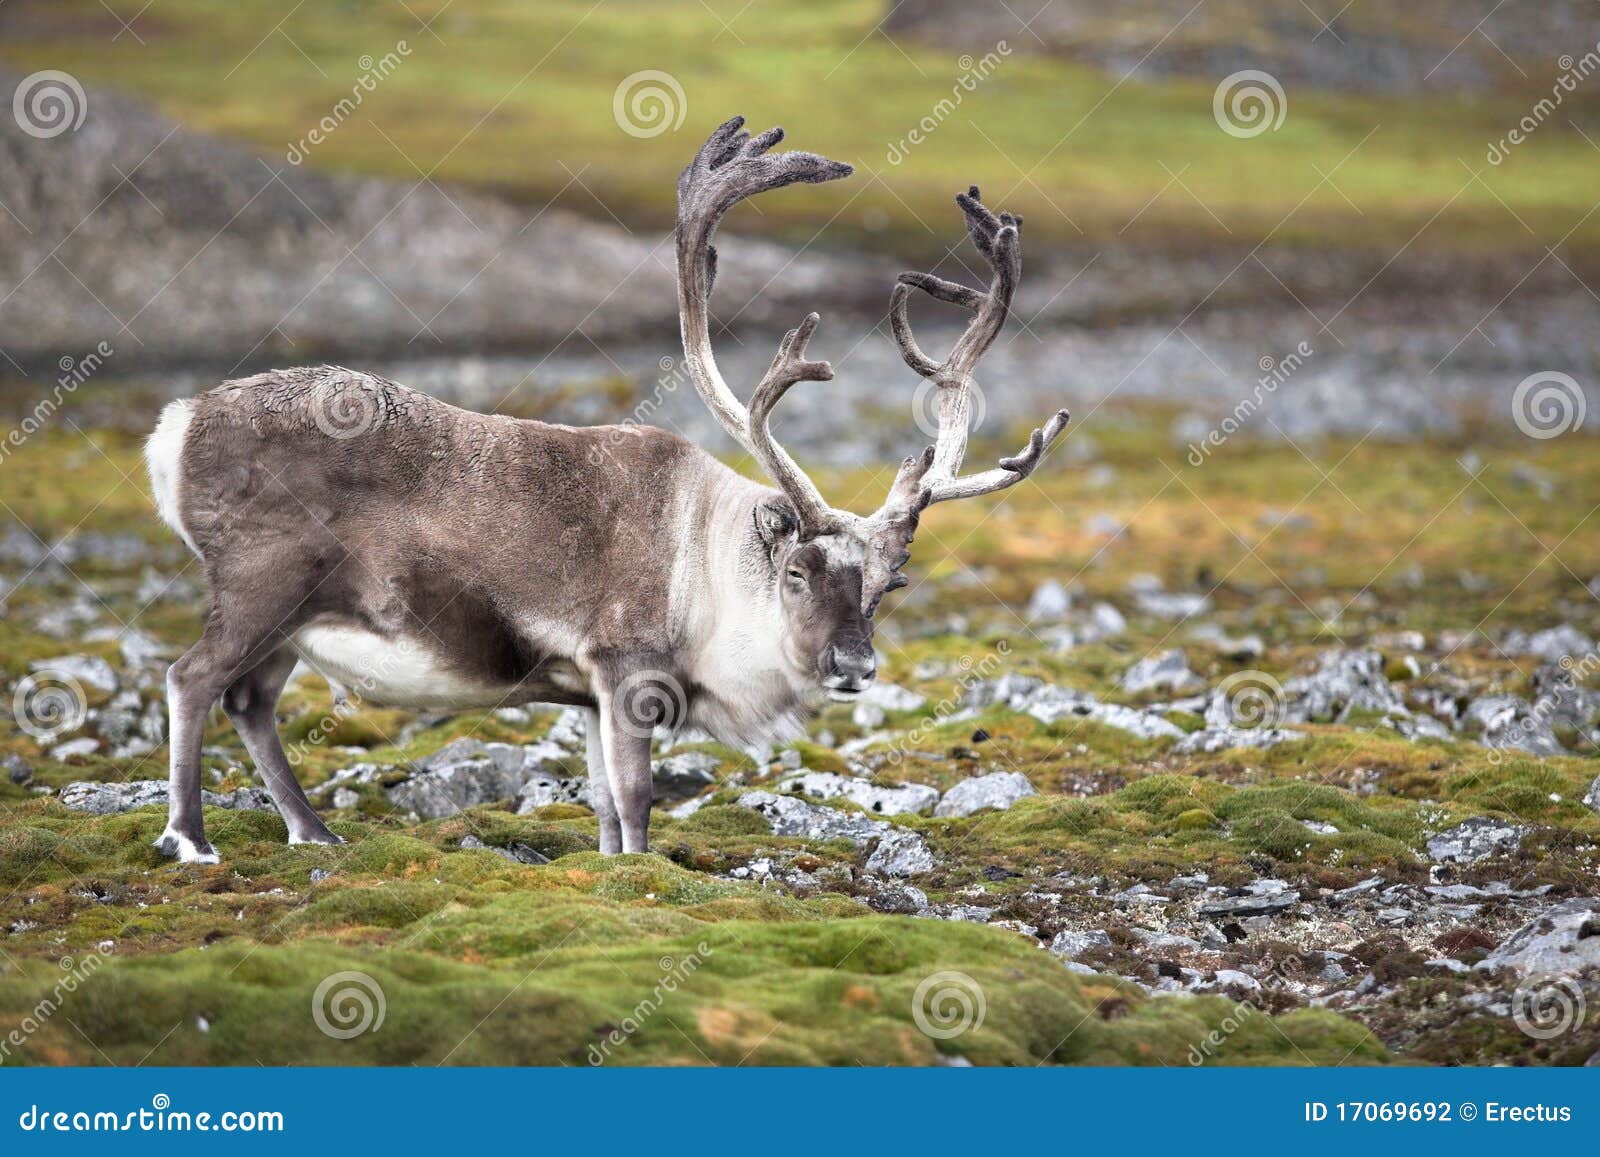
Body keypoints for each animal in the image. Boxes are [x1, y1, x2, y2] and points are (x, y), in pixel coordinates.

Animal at [142, 115, 1068, 863]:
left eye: (889, 584)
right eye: (799, 571)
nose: (854, 664)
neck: (709, 565)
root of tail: (175, 425)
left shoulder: (586, 695)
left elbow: (601, 809)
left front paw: (611, 867)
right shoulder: (628, 672)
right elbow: (635, 800)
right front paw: (643, 876)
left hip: (297, 620)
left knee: (249, 699)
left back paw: (313, 830)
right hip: (261, 584)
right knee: (193, 679)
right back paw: (191, 838)